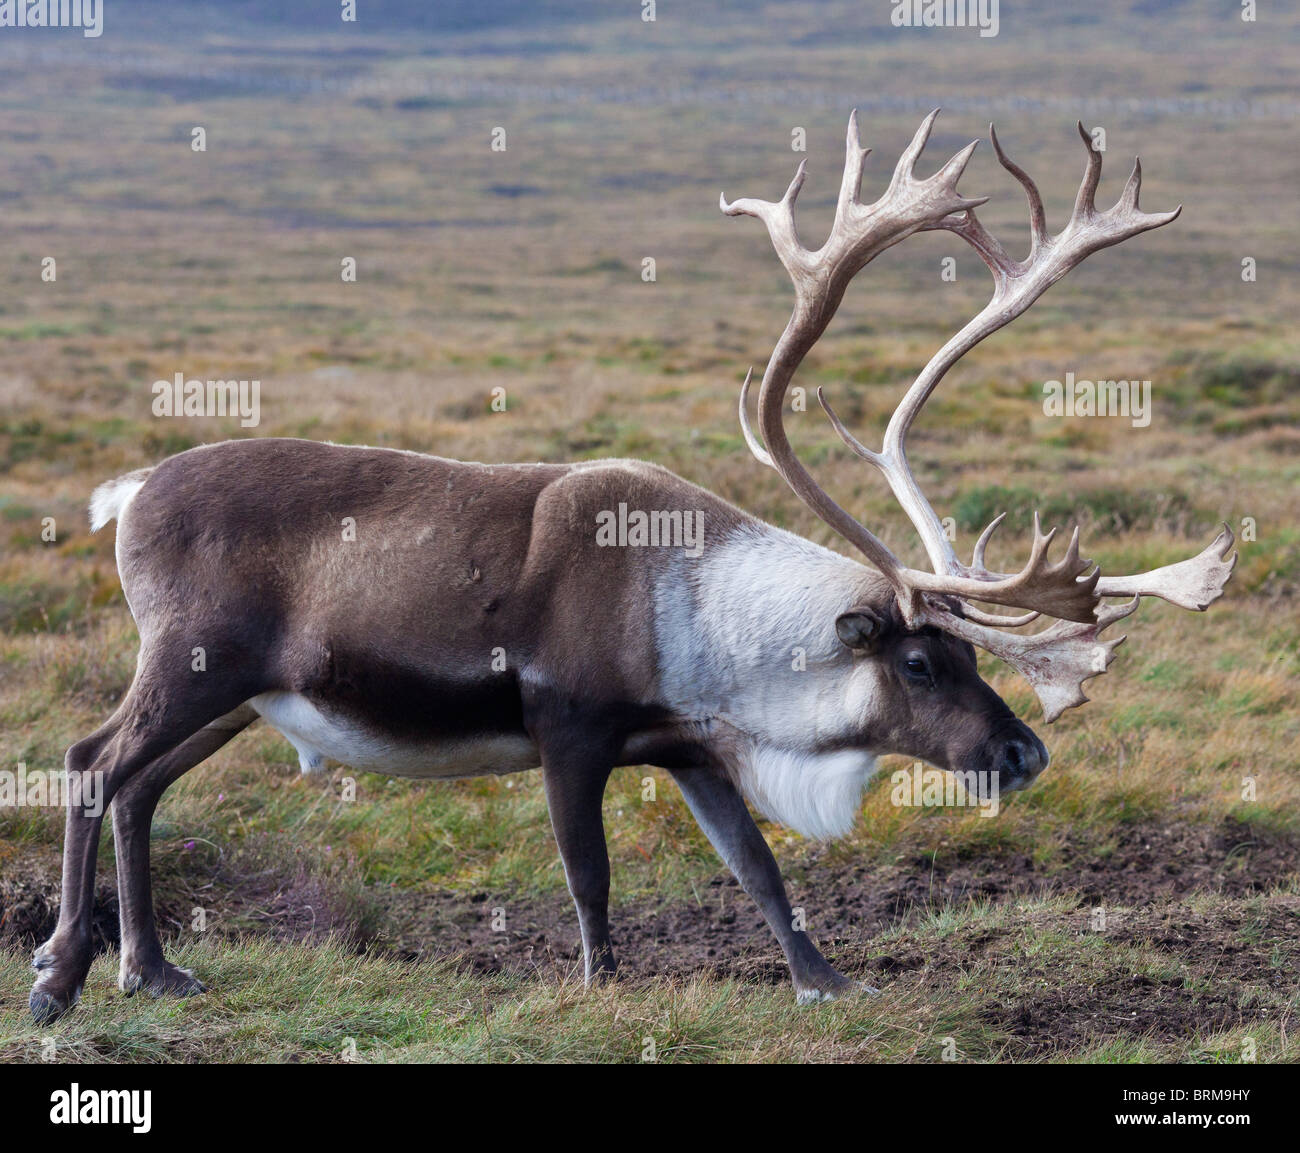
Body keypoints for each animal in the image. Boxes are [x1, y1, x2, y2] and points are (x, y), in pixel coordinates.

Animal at [30, 111, 1235, 1022]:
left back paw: (153, 969)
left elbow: (761, 870)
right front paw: (601, 986)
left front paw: (828, 981)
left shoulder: (693, 748)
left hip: (242, 697)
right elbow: (590, 875)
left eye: (972, 656)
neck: (702, 612)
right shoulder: (569, 732)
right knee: (93, 760)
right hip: (192, 661)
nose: (1025, 751)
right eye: (921, 663)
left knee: (141, 786)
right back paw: (61, 975)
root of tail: (128, 492)